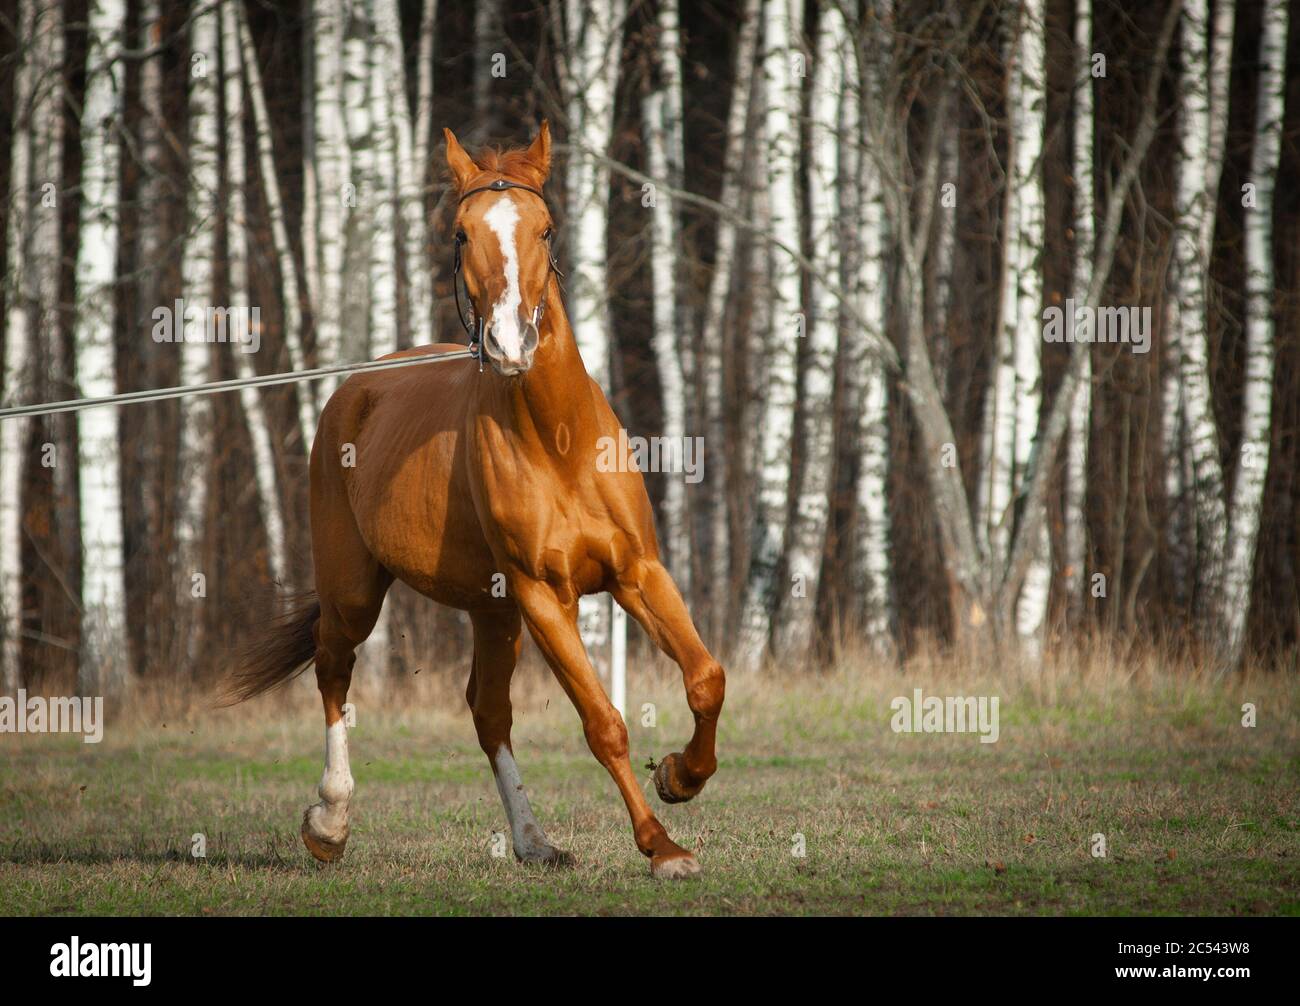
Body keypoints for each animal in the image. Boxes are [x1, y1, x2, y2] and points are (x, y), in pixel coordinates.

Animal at [231, 122, 725, 879]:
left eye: (545, 228)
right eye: (462, 234)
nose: (510, 342)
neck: (558, 440)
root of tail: (358, 387)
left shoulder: (637, 572)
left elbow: (705, 678)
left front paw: (680, 776)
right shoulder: (545, 596)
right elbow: (603, 724)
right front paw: (662, 846)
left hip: (494, 611)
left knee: (487, 711)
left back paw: (533, 842)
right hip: (356, 592)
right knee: (334, 671)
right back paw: (330, 822)